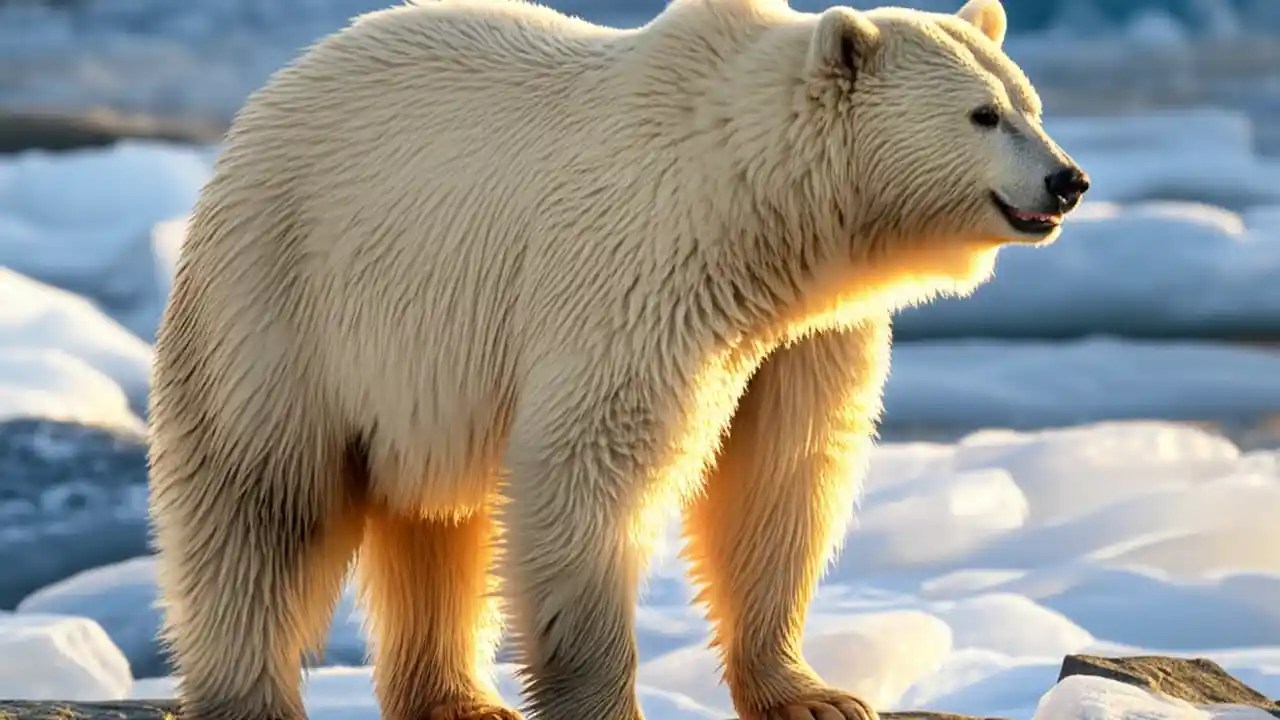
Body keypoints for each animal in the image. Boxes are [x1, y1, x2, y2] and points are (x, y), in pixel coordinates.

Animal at [146, 0, 1089, 718]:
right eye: (982, 114)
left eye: (1030, 102)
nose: (1069, 180)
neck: (754, 209)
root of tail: (267, 102)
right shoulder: (639, 276)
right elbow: (591, 469)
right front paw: (602, 695)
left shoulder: (807, 333)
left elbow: (782, 474)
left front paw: (816, 694)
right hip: (285, 291)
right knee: (261, 499)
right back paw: (250, 693)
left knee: (436, 514)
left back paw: (459, 699)